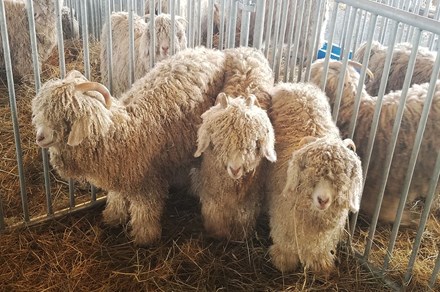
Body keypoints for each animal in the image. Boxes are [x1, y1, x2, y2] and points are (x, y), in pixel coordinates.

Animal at [32, 46, 227, 245]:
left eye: (65, 115)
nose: (40, 137)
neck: (120, 131)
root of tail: (207, 50)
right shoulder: (119, 173)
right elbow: (116, 196)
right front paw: (112, 217)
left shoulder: (146, 180)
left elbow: (144, 209)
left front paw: (145, 236)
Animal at [266, 82, 362, 274]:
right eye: (310, 172)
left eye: (342, 176)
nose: (323, 200)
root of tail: (299, 85)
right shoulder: (284, 216)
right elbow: (284, 240)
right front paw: (284, 260)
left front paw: (320, 263)